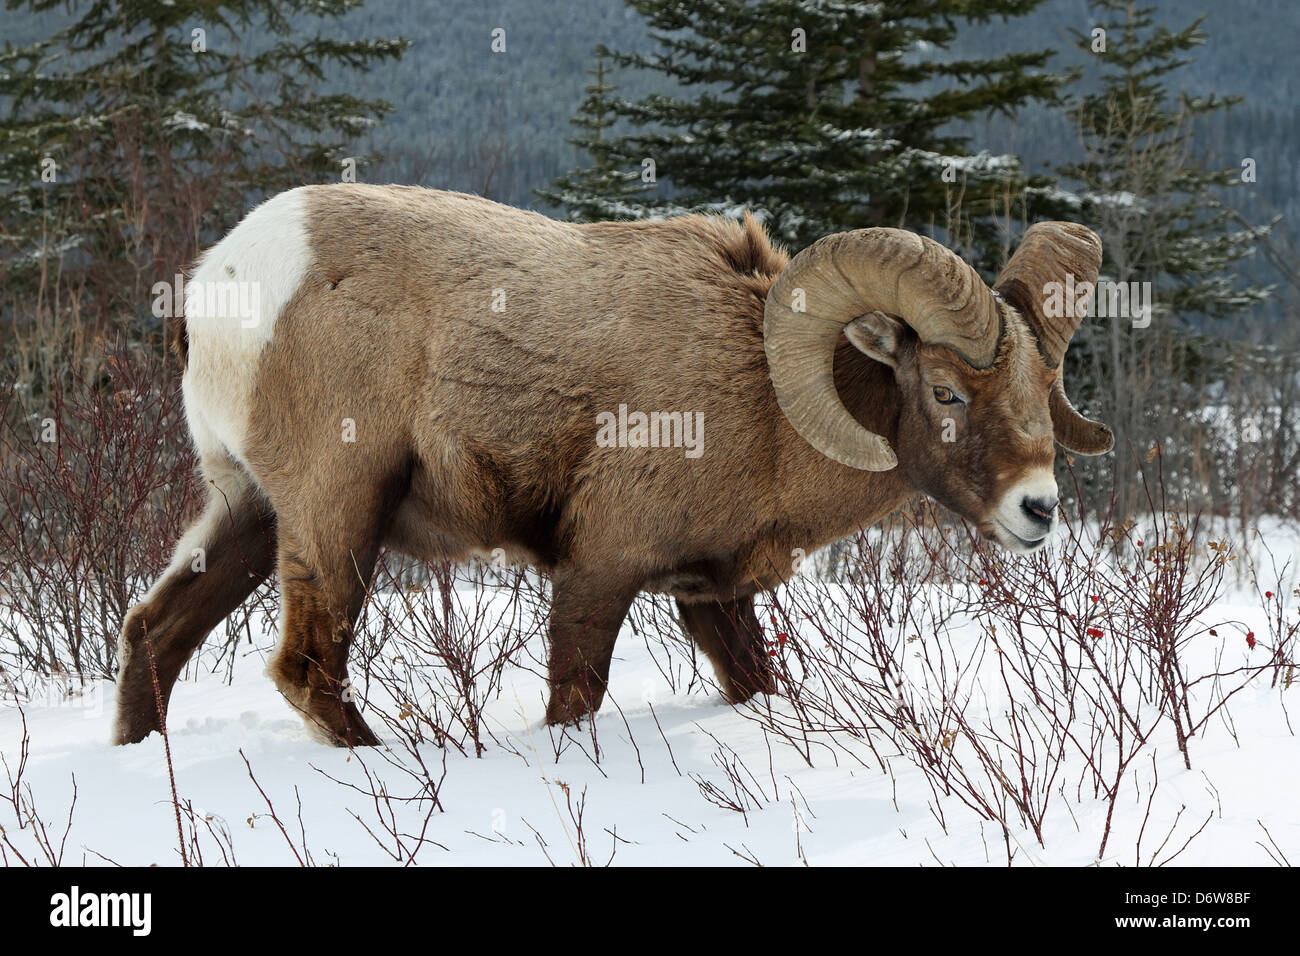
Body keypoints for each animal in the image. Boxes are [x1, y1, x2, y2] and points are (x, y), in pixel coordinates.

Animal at [113, 184, 1111, 747]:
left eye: (1044, 382)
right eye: (944, 391)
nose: (1038, 508)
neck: (764, 406)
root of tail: (216, 285)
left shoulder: (711, 596)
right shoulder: (601, 567)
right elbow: (574, 696)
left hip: (247, 512)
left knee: (154, 632)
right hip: (339, 511)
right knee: (308, 667)